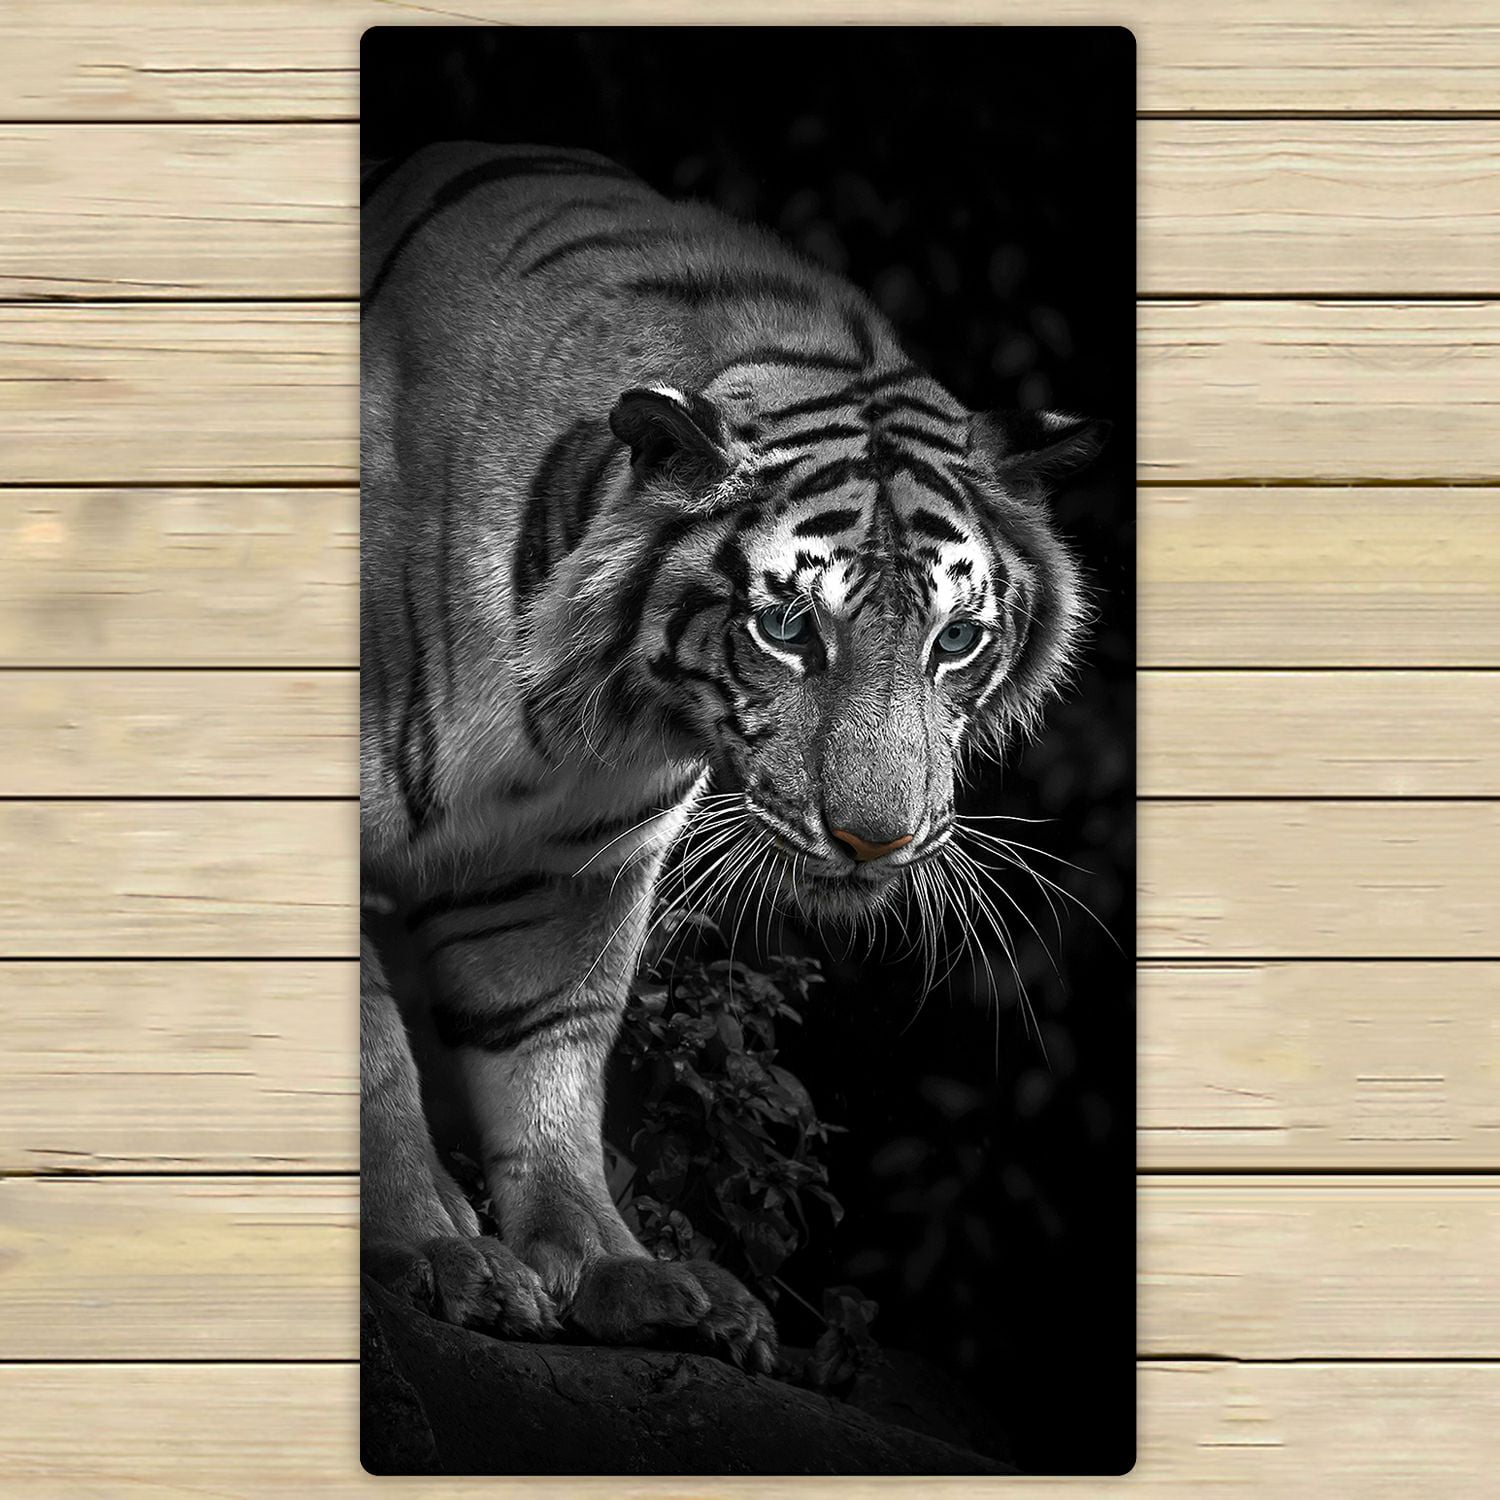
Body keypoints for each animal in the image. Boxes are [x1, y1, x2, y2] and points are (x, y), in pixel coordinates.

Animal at [360, 141, 1106, 1374]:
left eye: (956, 640)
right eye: (790, 628)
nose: (876, 840)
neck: (580, 718)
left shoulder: (566, 866)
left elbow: (546, 1065)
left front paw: (616, 1270)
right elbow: (374, 1051)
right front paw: (427, 1246)